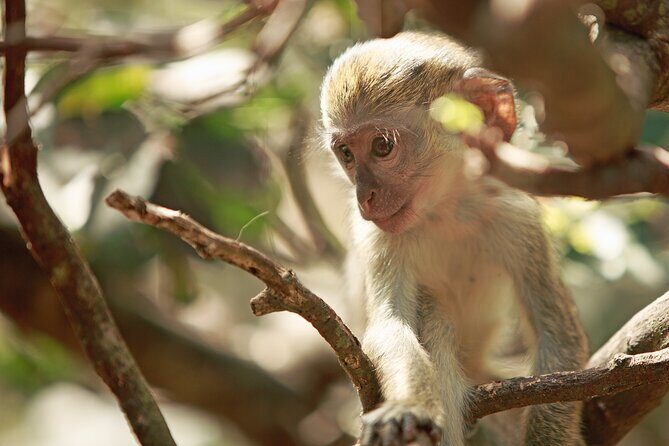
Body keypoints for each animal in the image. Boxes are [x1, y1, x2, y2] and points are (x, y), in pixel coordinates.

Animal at [319, 32, 588, 446]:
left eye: (382, 146)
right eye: (346, 153)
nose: (365, 197)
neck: (446, 210)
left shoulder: (518, 218)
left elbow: (558, 336)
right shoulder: (379, 238)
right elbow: (390, 327)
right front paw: (410, 407)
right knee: (435, 316)